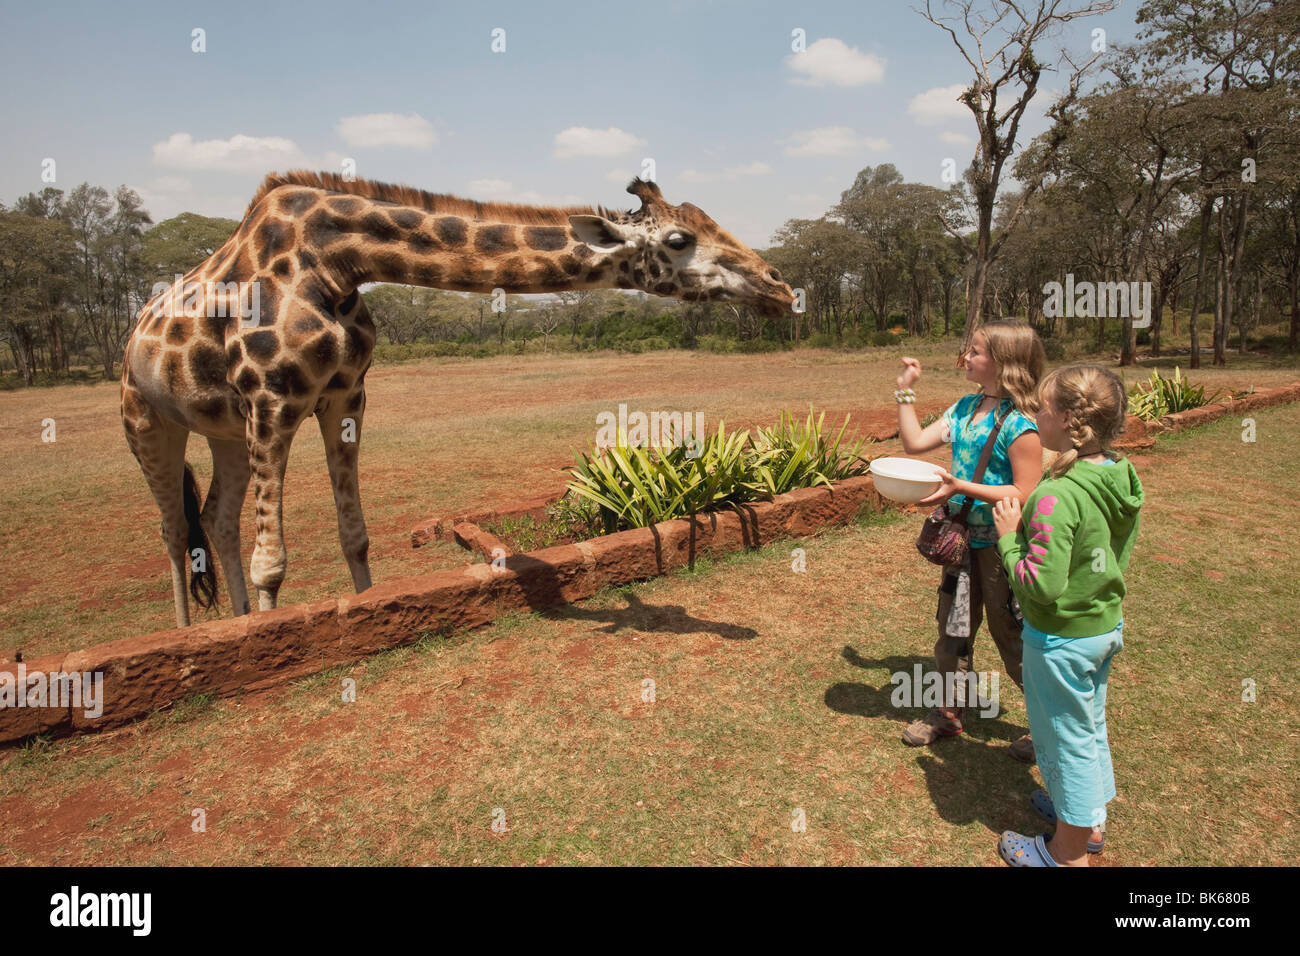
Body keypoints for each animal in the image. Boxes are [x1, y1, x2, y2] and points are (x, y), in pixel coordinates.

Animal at [121, 170, 796, 628]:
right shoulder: (271, 399)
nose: (779, 286)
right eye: (680, 240)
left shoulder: (346, 396)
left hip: (224, 430)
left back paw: (236, 618)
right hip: (147, 421)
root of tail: (132, 335)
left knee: (215, 517)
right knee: (174, 530)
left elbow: (354, 536)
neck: (337, 262)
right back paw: (190, 632)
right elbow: (274, 563)